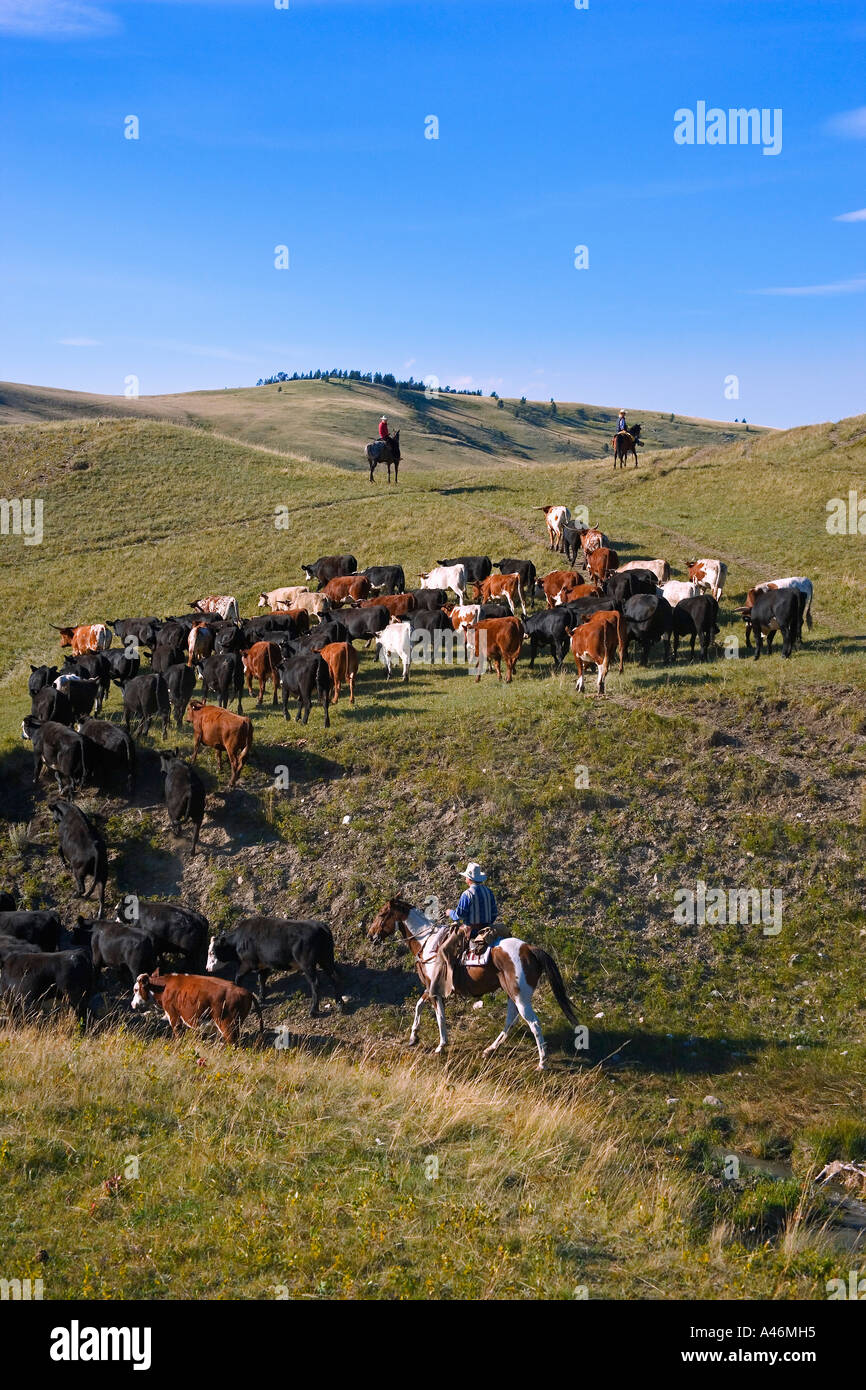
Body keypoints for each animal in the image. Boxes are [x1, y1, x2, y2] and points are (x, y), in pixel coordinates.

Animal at [131, 971, 262, 1045]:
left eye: (136, 989)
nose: (132, 1004)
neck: (164, 987)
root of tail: (246, 992)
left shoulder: (173, 1015)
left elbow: (178, 1034)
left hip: (227, 1025)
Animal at [206, 916, 345, 1015]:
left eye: (212, 952)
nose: (207, 968)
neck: (239, 940)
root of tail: (320, 926)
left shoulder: (248, 963)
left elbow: (238, 977)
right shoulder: (264, 965)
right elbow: (261, 980)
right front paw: (261, 998)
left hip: (308, 964)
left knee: (315, 983)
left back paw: (313, 1011)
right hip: (326, 958)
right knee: (335, 977)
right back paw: (339, 1003)